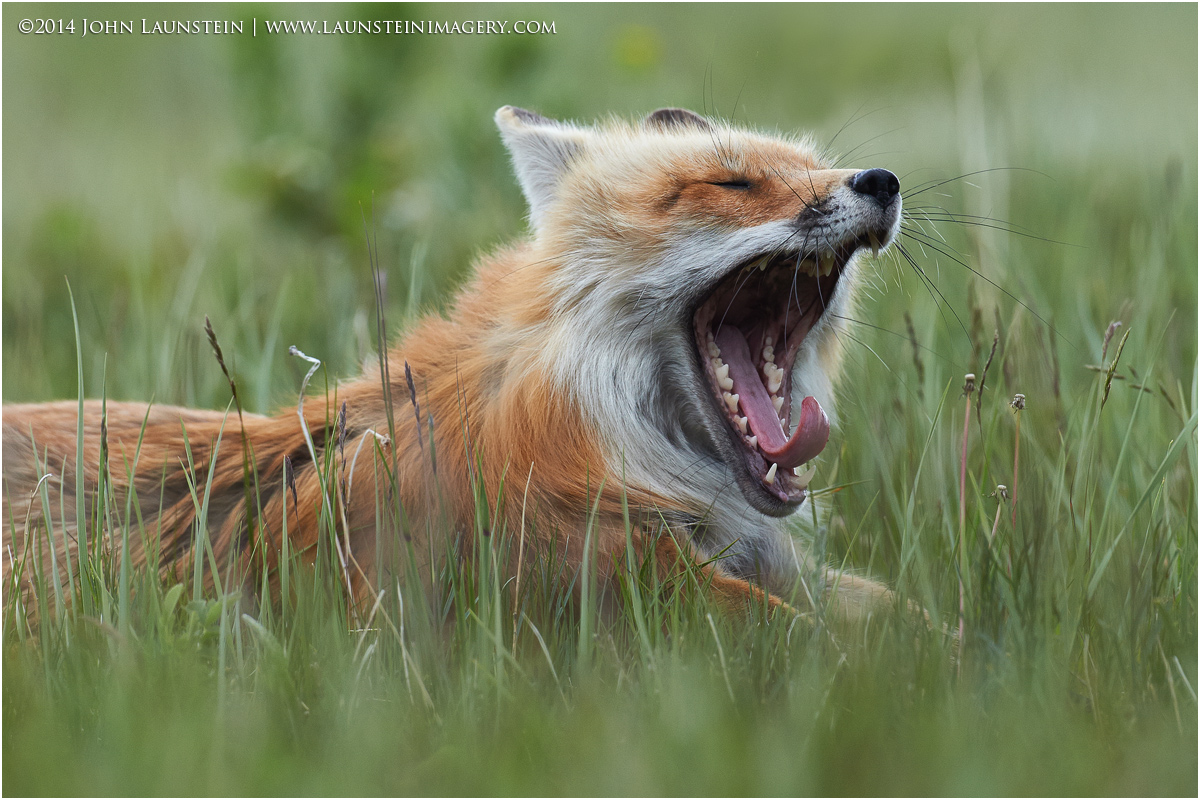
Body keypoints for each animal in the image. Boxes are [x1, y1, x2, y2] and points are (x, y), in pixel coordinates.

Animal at [3, 106, 905, 626]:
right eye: (731, 182)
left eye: (809, 164)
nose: (882, 179)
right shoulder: (610, 586)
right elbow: (856, 650)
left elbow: (905, 614)